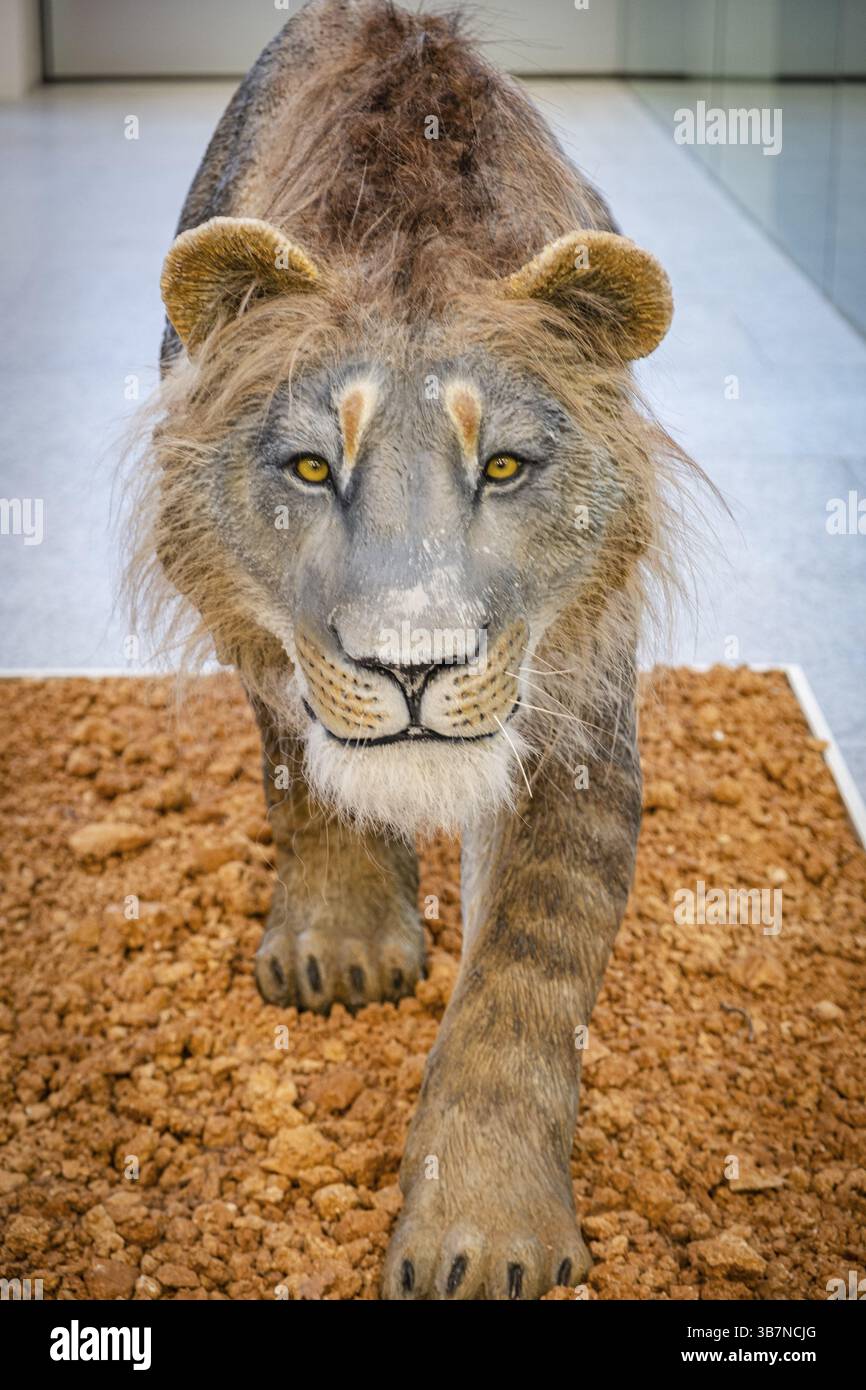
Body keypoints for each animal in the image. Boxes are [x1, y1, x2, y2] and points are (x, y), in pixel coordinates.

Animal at [132, 0, 694, 1299]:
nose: (411, 666)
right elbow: (302, 764)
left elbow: (528, 969)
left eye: (503, 466)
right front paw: (341, 944)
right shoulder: (251, 622)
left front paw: (482, 1231)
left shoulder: (577, 695)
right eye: (308, 467)